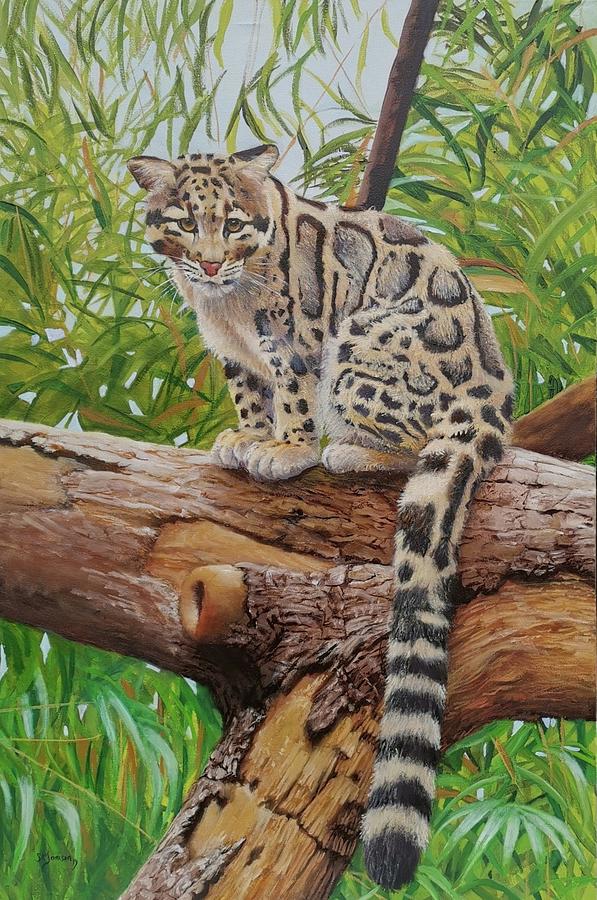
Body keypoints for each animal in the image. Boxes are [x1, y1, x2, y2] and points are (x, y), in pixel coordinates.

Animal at [128, 143, 514, 890]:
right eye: (186, 223)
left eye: (235, 223)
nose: (210, 265)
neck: (224, 304)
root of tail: (490, 402)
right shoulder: (234, 355)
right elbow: (250, 393)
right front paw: (245, 437)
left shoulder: (292, 337)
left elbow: (291, 392)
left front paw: (285, 448)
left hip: (363, 348)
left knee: (405, 441)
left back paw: (349, 450)